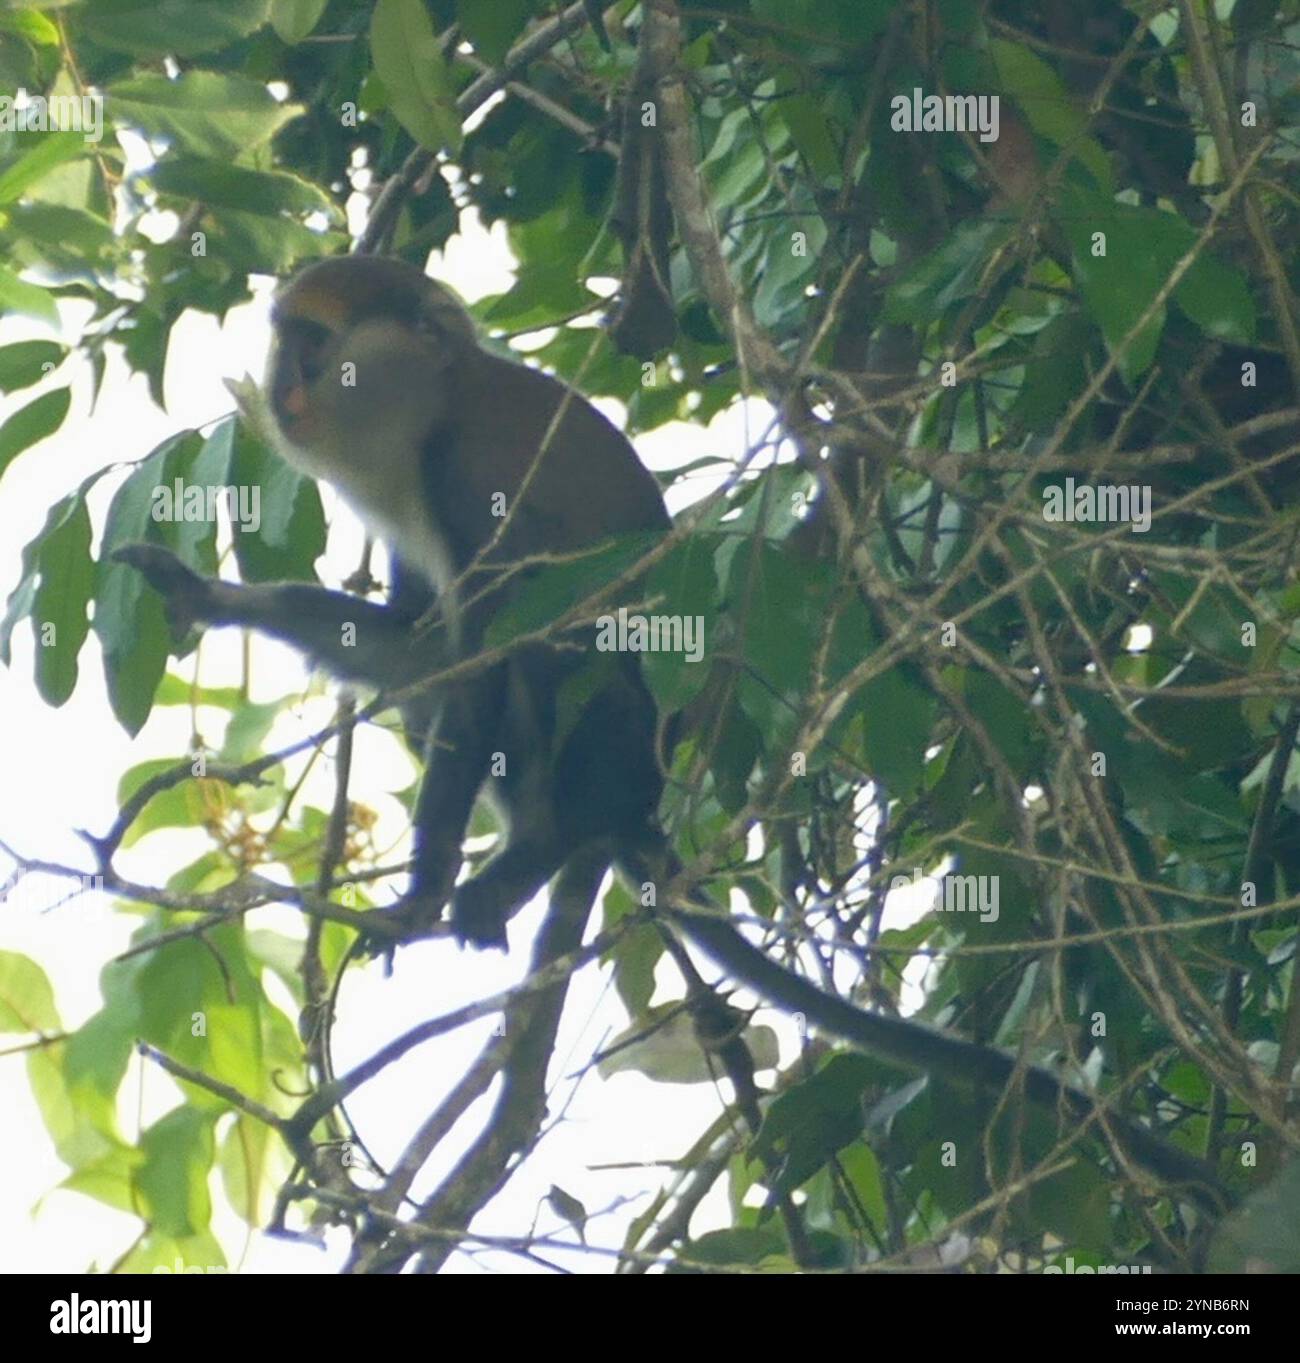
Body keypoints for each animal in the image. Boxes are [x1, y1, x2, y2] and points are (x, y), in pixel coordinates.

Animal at [114, 255, 1229, 1209]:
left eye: (312, 342)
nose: (281, 385)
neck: (428, 405)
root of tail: (641, 808)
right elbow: (414, 648)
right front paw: (205, 593)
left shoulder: (469, 481)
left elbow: (487, 672)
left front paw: (423, 894)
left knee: (573, 662)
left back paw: (545, 847)